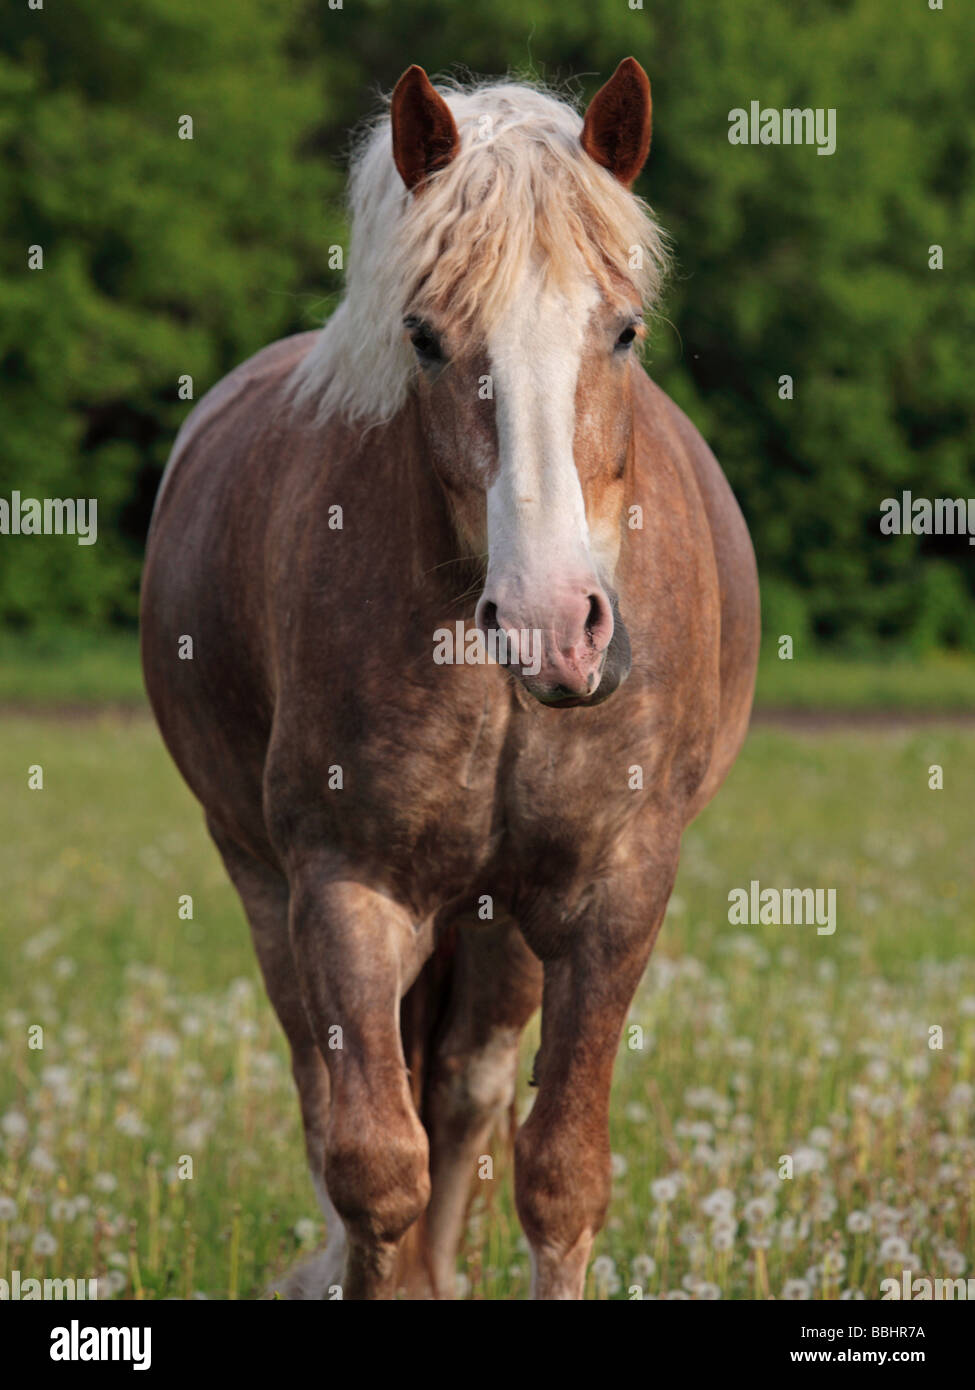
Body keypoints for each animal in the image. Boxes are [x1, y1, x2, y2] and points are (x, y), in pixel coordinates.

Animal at [140, 57, 760, 1300]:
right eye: (424, 337)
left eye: (624, 331)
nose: (551, 624)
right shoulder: (346, 885)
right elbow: (376, 1168)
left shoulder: (614, 892)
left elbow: (558, 1175)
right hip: (263, 876)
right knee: (331, 1088)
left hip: (500, 921)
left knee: (469, 1091)